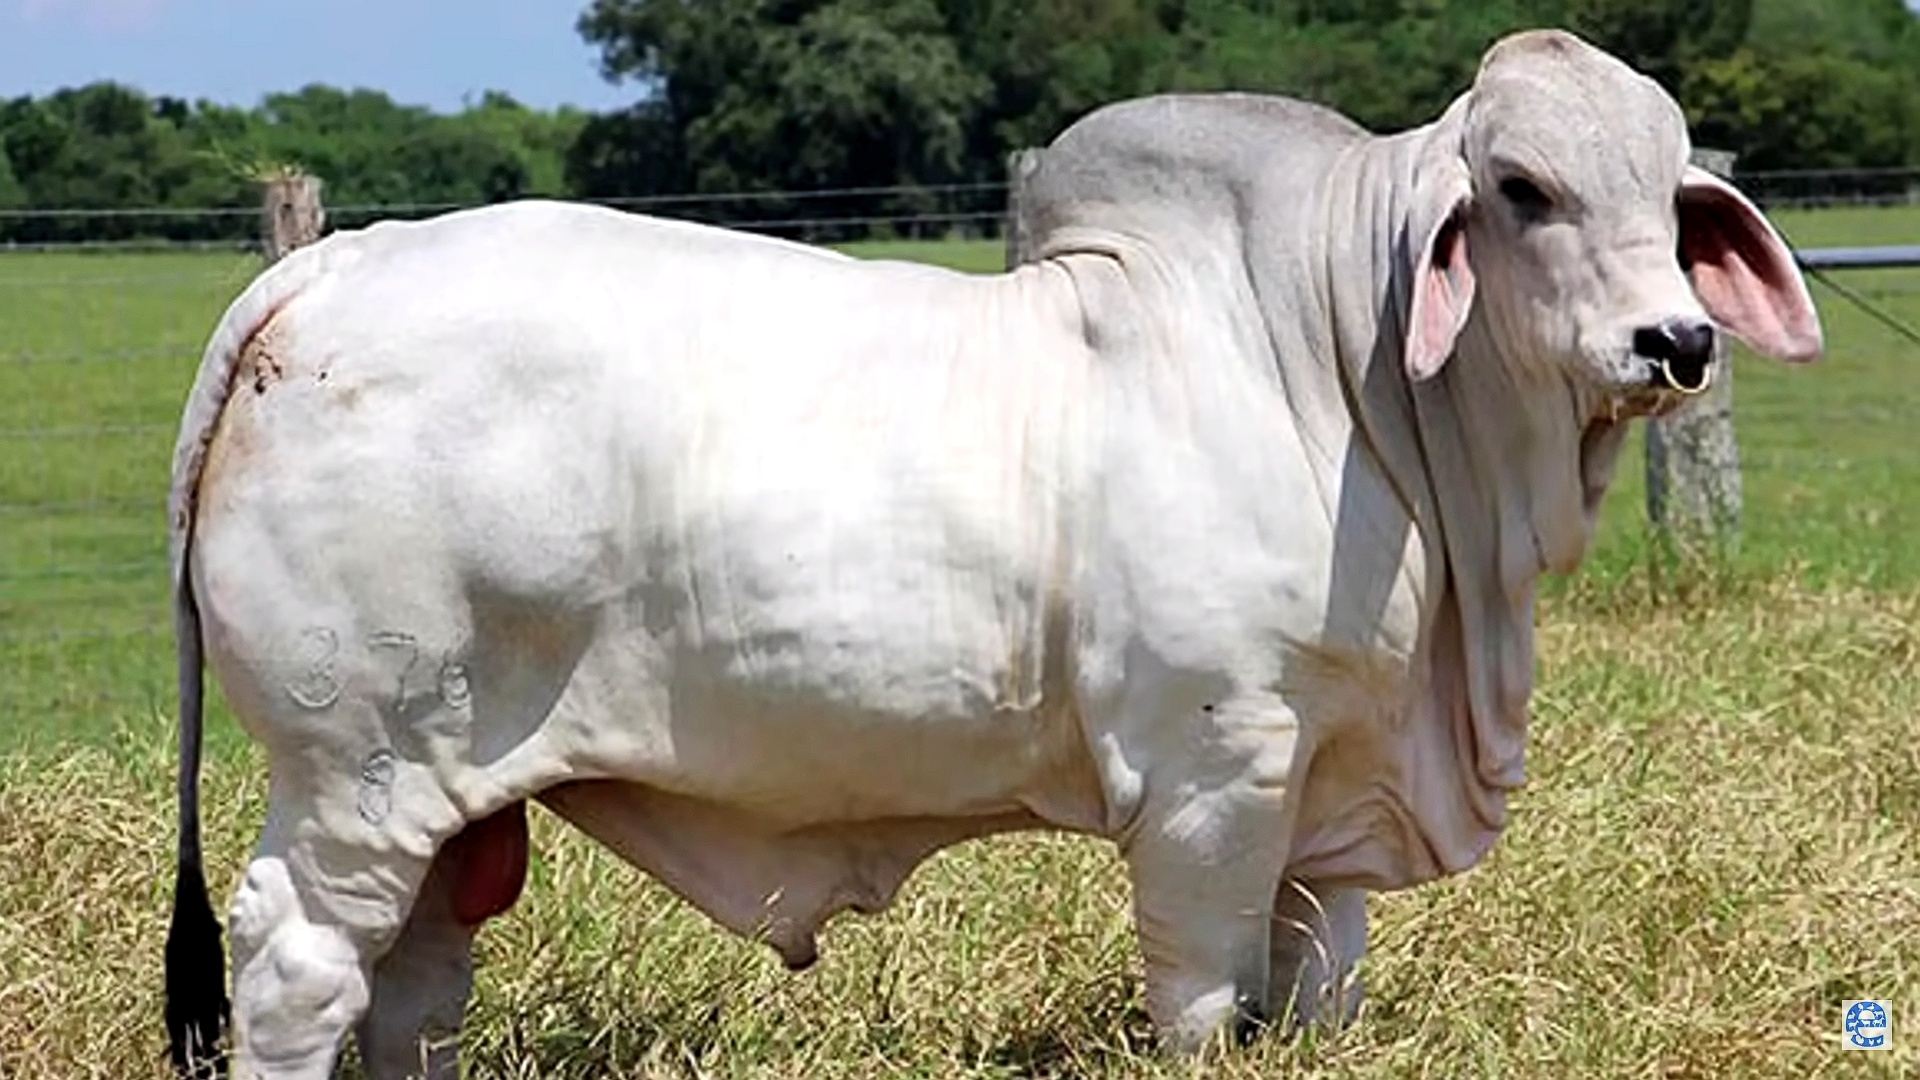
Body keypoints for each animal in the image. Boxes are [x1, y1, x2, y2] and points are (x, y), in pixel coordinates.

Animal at [163, 28, 1822, 1079]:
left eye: (1673, 199)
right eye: (1525, 190)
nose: (1674, 342)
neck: (1341, 375)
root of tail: (335, 266)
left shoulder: (1336, 785)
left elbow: (1319, 987)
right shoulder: (1215, 773)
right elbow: (1208, 1003)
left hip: (450, 795)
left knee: (415, 989)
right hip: (353, 771)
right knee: (301, 967)